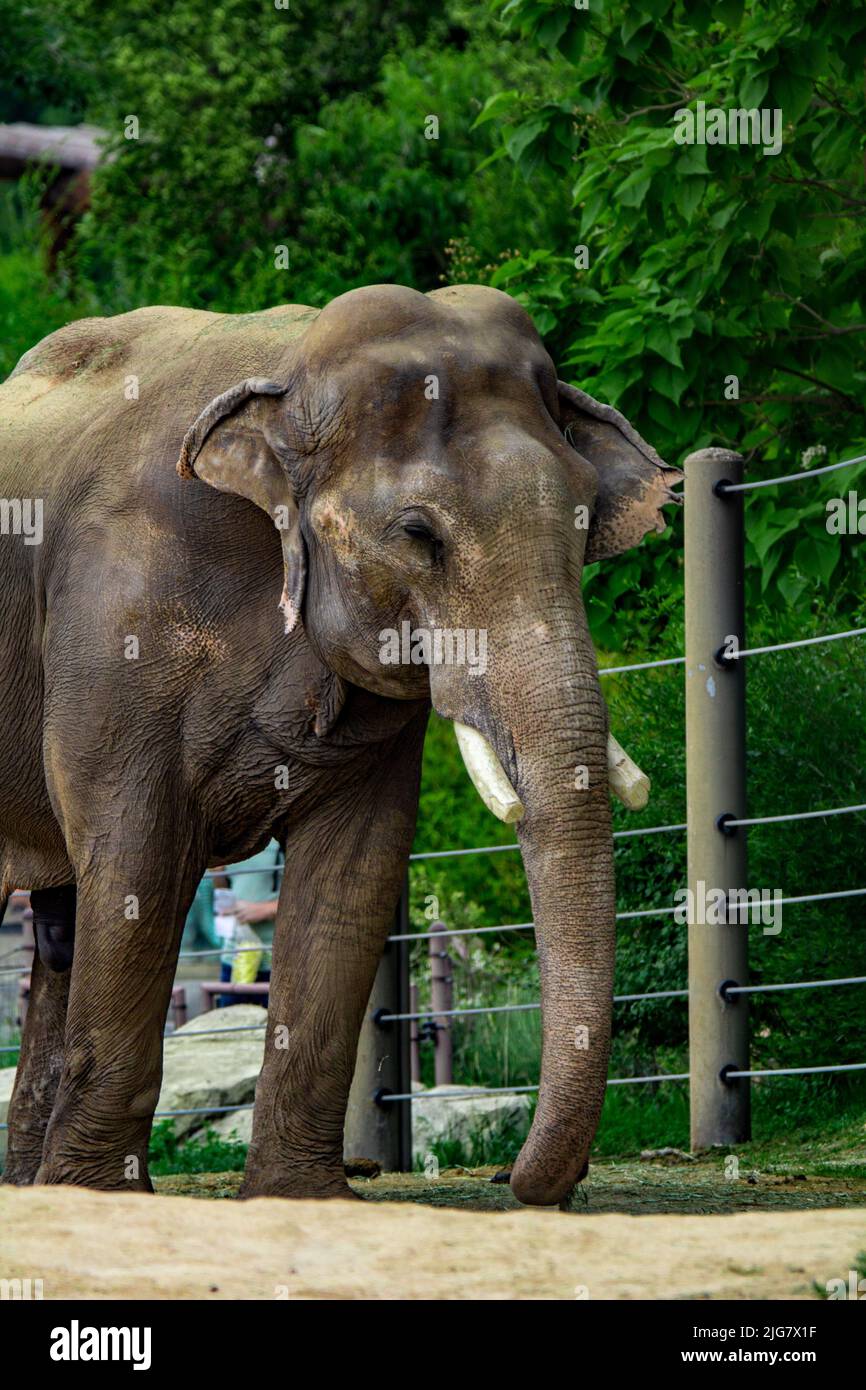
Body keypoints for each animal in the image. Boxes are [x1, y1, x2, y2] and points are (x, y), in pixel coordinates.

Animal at [0, 283, 681, 1204]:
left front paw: (299, 1199)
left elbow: (354, 872)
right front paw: (105, 1199)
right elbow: (138, 858)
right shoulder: (114, 626)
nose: (517, 1179)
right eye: (419, 535)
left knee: (59, 925)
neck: (288, 376)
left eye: (584, 522)